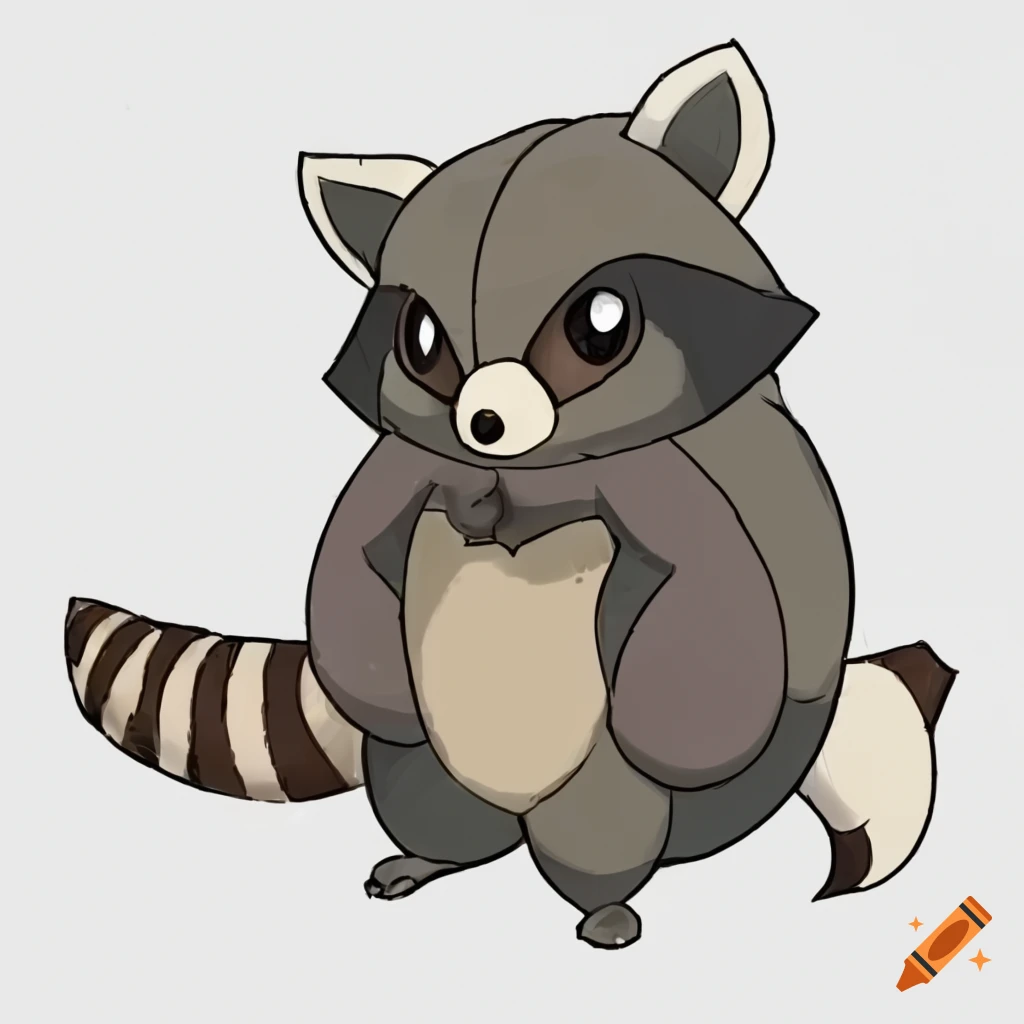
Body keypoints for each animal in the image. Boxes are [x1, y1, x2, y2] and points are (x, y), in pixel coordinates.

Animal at [65, 40, 958, 949]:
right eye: (422, 340)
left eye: (598, 326)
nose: (483, 421)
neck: (518, 475)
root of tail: (517, 816)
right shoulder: (405, 466)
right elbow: (347, 560)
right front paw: (370, 677)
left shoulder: (698, 482)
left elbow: (728, 597)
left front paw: (687, 725)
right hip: (424, 765)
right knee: (439, 809)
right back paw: (431, 856)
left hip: (600, 784)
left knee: (602, 827)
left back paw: (602, 903)